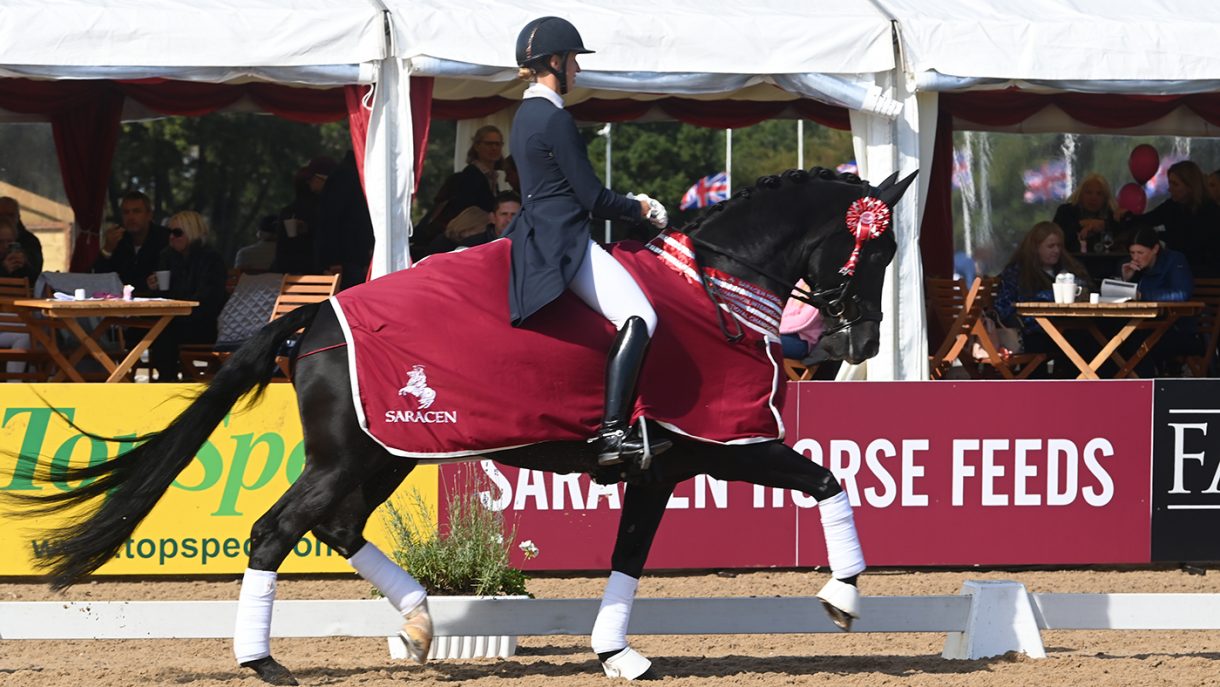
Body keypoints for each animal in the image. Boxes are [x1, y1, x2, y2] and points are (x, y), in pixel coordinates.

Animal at [9, 166, 915, 685]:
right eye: (877, 249)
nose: (860, 342)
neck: (717, 291)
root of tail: (315, 319)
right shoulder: (717, 443)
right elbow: (824, 480)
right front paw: (840, 595)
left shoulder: (677, 462)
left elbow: (640, 551)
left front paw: (616, 649)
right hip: (352, 456)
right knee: (275, 530)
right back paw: (264, 660)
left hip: (387, 453)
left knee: (337, 527)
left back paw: (417, 623)